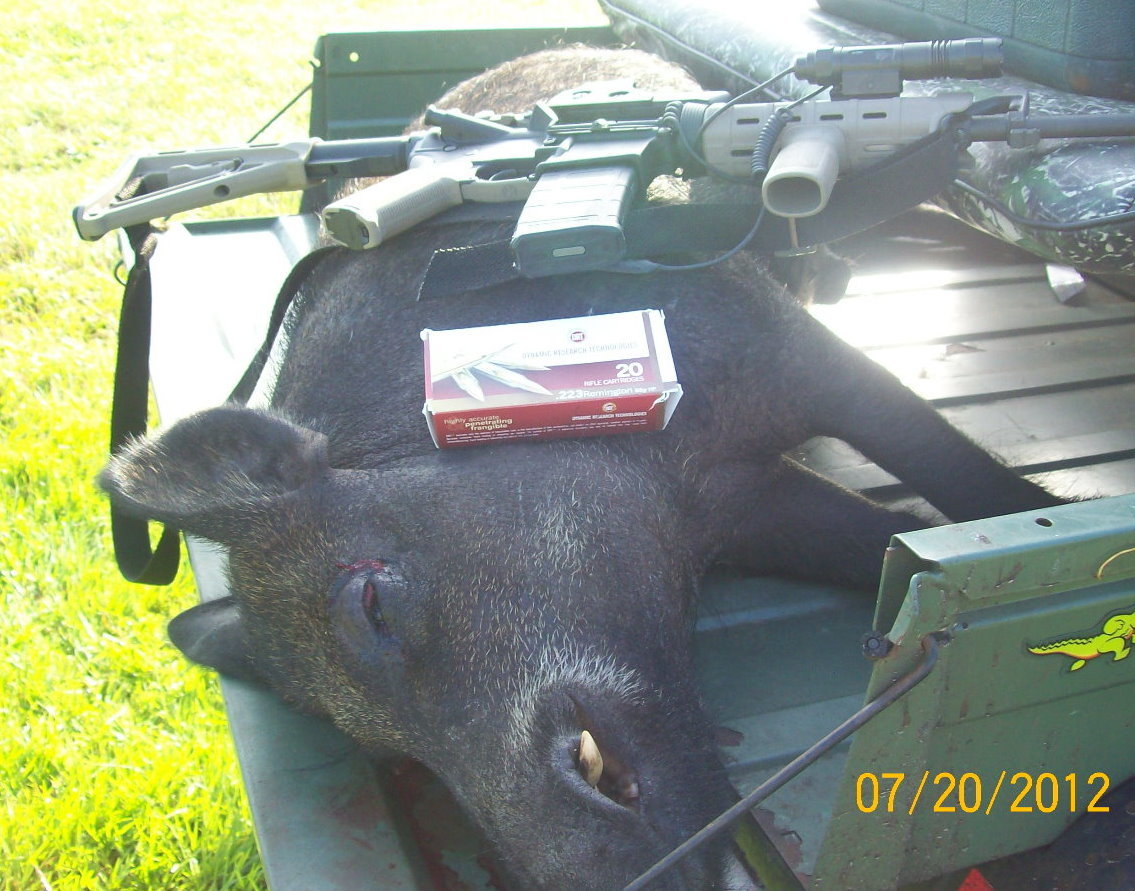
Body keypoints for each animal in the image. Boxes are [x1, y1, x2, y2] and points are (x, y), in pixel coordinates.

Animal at [99, 47, 1064, 888]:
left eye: (368, 601)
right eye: (379, 749)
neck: (675, 481)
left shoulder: (793, 362)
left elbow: (943, 473)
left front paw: (1035, 514)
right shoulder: (748, 500)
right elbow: (885, 541)